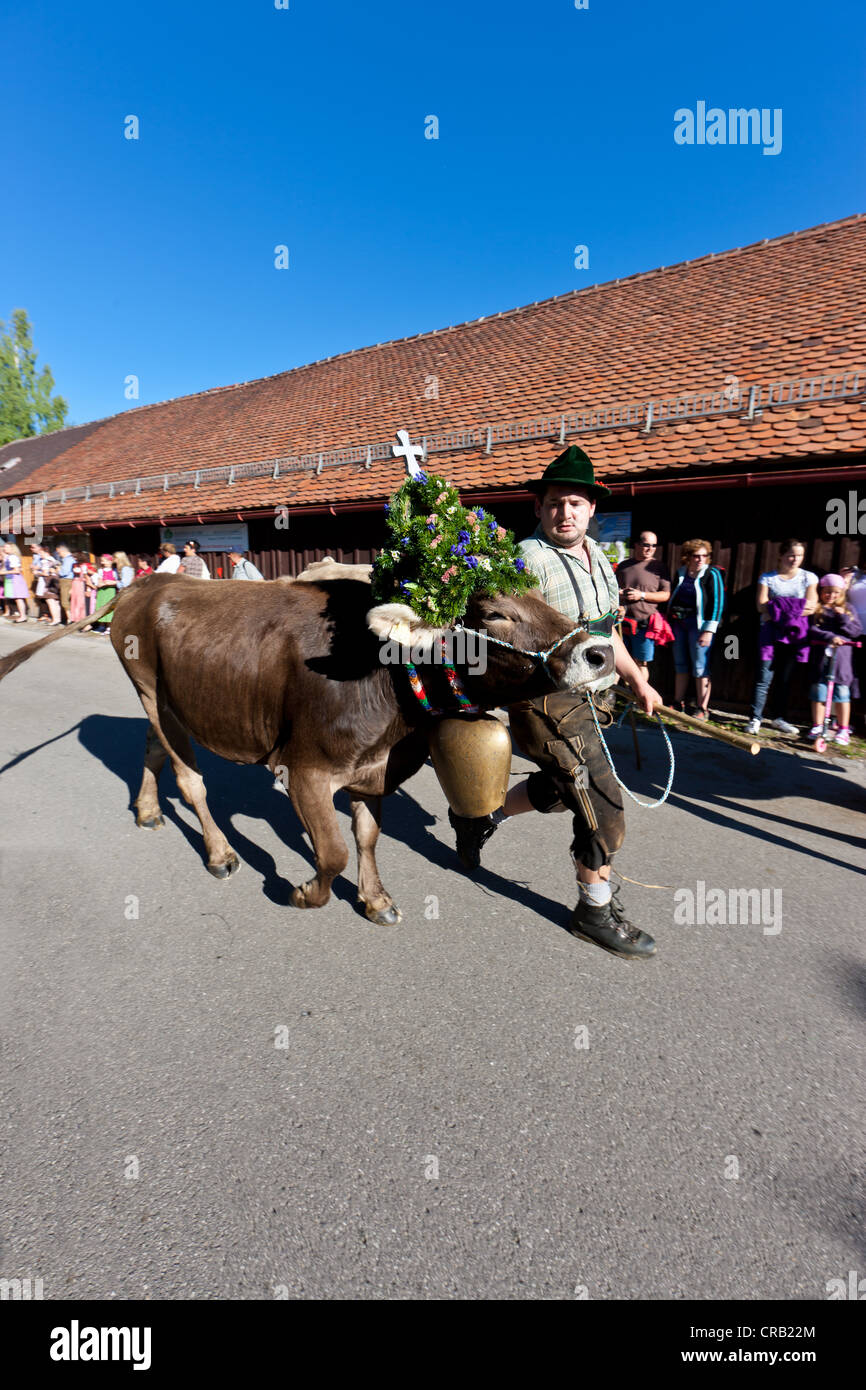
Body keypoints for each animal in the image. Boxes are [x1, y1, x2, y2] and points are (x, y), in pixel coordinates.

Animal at [0, 571, 614, 923]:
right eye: (494, 613)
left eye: (540, 595)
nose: (601, 652)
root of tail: (144, 582)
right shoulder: (306, 771)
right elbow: (333, 851)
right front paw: (303, 893)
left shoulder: (373, 771)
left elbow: (365, 837)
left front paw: (375, 900)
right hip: (148, 686)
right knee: (190, 780)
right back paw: (219, 854)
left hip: (168, 701)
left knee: (155, 749)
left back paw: (148, 810)